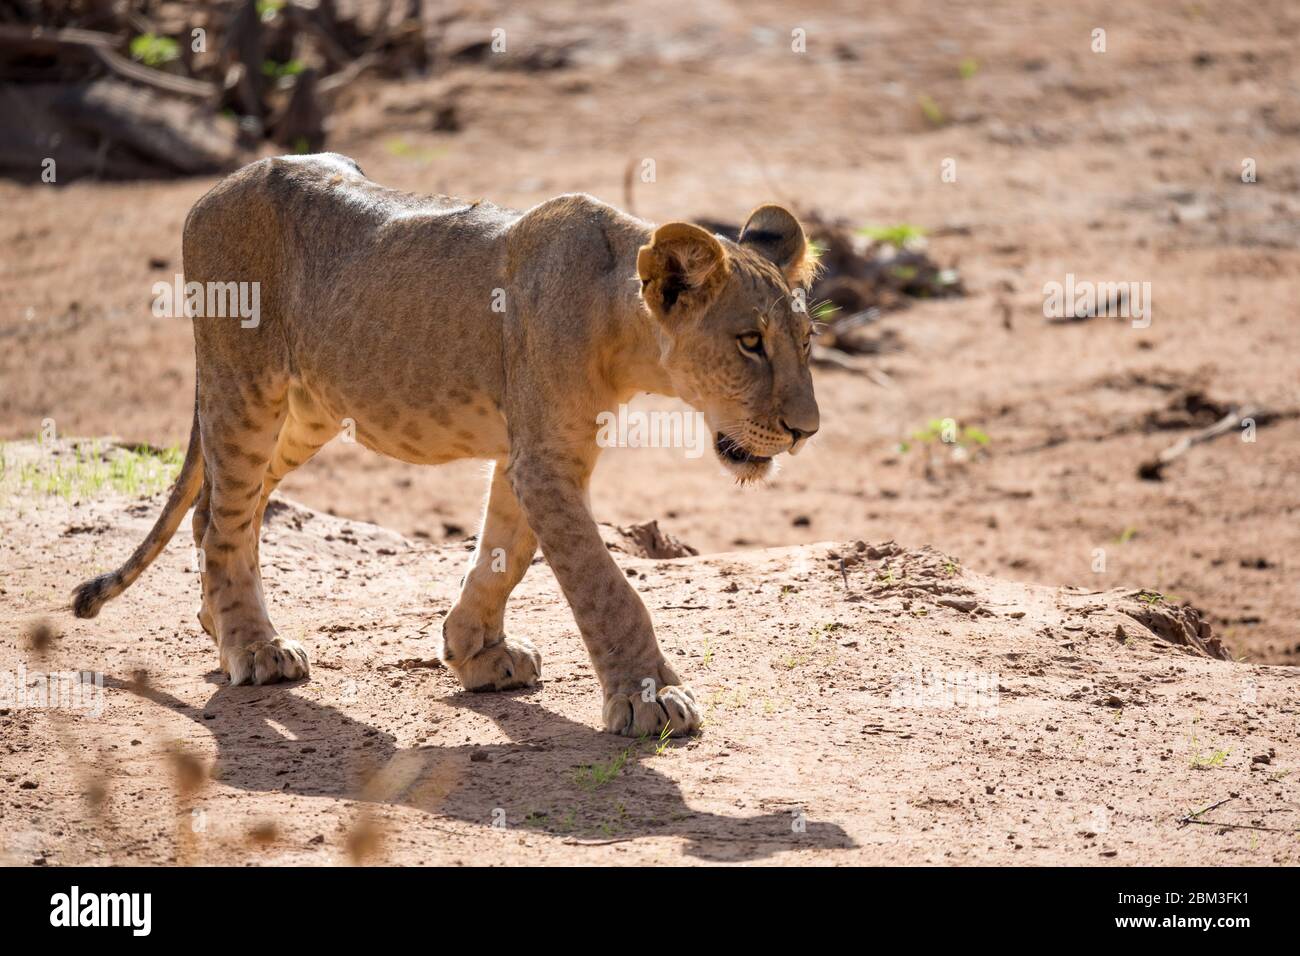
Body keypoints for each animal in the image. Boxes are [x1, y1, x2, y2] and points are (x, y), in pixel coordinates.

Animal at [72, 153, 821, 737]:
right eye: (749, 342)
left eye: (806, 341)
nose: (806, 430)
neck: (623, 329)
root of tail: (227, 182)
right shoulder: (545, 461)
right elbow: (604, 585)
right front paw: (651, 697)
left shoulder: (538, 454)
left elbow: (503, 553)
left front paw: (476, 654)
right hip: (244, 384)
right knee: (227, 519)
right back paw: (254, 649)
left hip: (309, 410)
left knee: (220, 510)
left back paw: (219, 627)